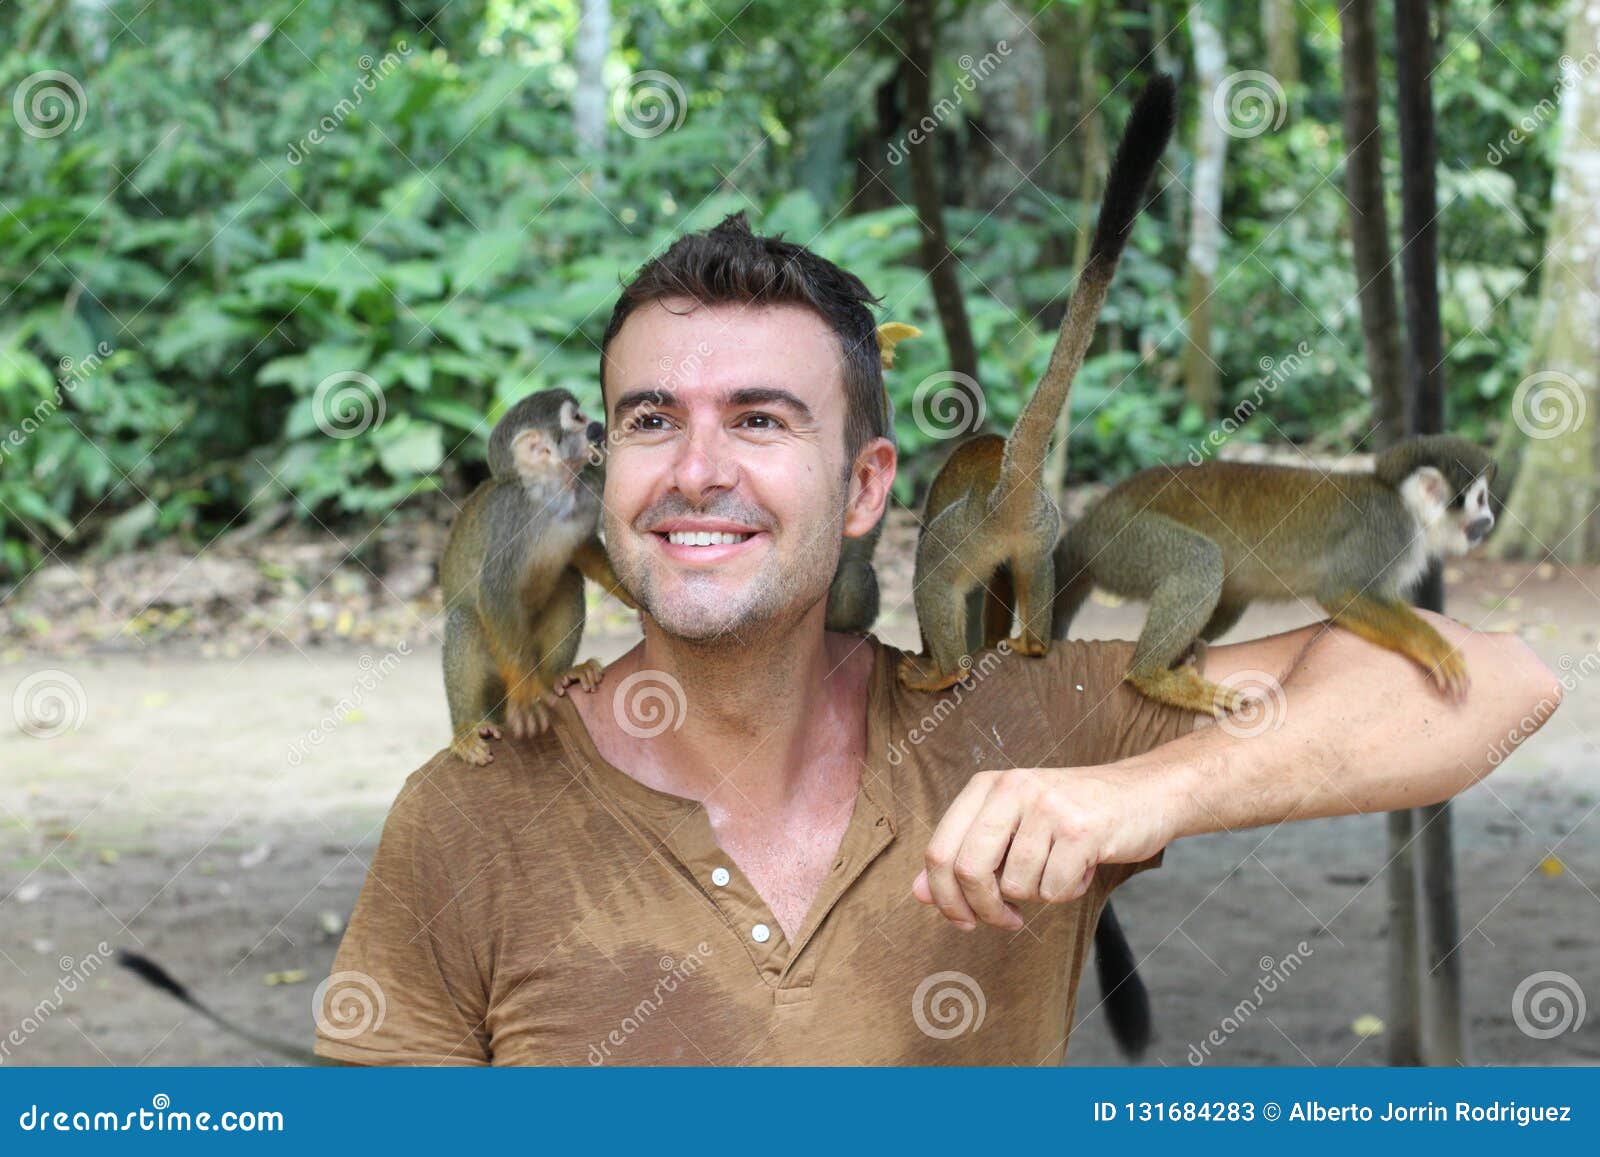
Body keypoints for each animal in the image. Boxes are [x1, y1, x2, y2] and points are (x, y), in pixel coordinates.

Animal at [440, 388, 636, 765]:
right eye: (576, 418)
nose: (597, 425)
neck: (552, 498)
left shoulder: (588, 490)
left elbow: (581, 549)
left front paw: (622, 586)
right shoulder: (511, 520)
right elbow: (494, 594)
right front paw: (526, 693)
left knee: (568, 580)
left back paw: (555, 675)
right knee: (466, 619)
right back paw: (467, 727)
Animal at [898, 74, 1178, 691]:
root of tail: (1005, 494)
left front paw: (941, 654)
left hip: (964, 535)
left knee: (931, 574)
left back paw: (945, 672)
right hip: (1039, 531)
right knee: (1029, 569)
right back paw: (1034, 644)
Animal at [1051, 433, 1498, 715]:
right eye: (1479, 499)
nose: (1489, 521)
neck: (1405, 506)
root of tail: (1091, 519)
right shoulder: (1387, 531)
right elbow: (1342, 592)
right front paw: (1433, 646)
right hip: (1126, 541)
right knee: (1199, 560)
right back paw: (1151, 676)